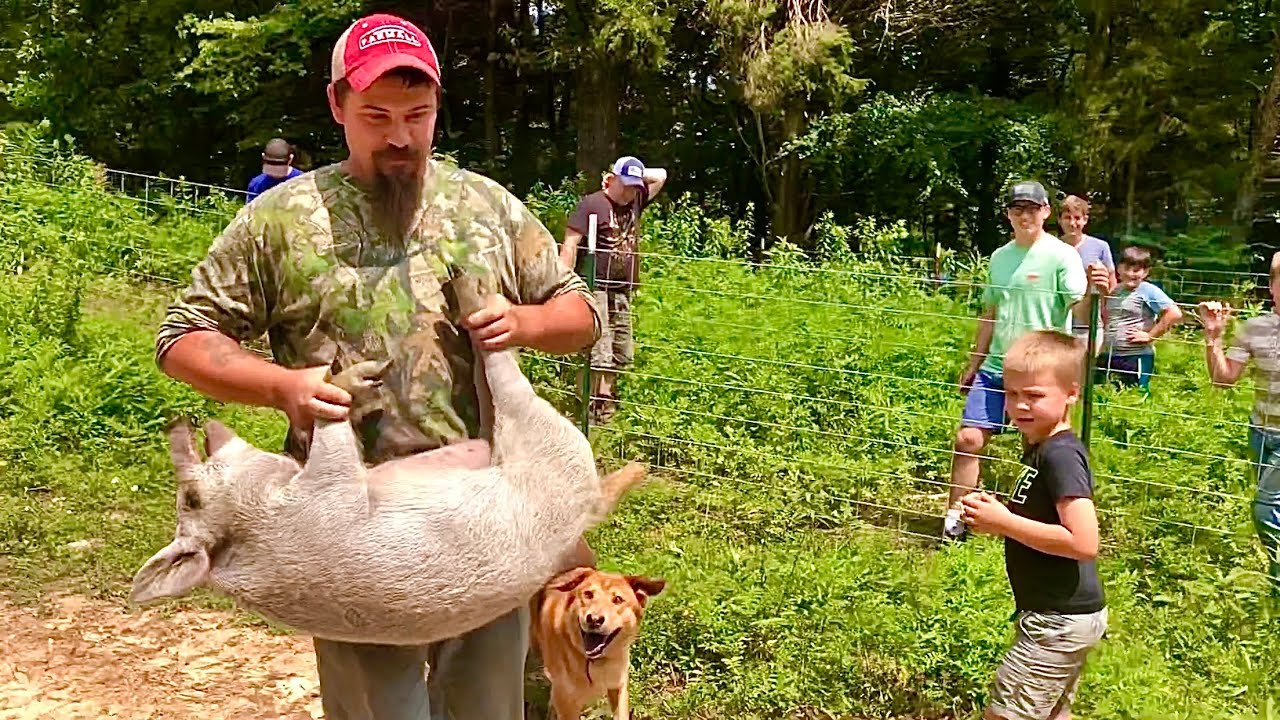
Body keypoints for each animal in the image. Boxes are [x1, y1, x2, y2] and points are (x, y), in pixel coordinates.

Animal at [128, 277, 645, 647]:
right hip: (543, 432)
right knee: (499, 366)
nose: (185, 424)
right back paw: (466, 287)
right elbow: (331, 424)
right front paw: (356, 377)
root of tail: (589, 504)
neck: (263, 517)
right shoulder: (330, 491)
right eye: (192, 497)